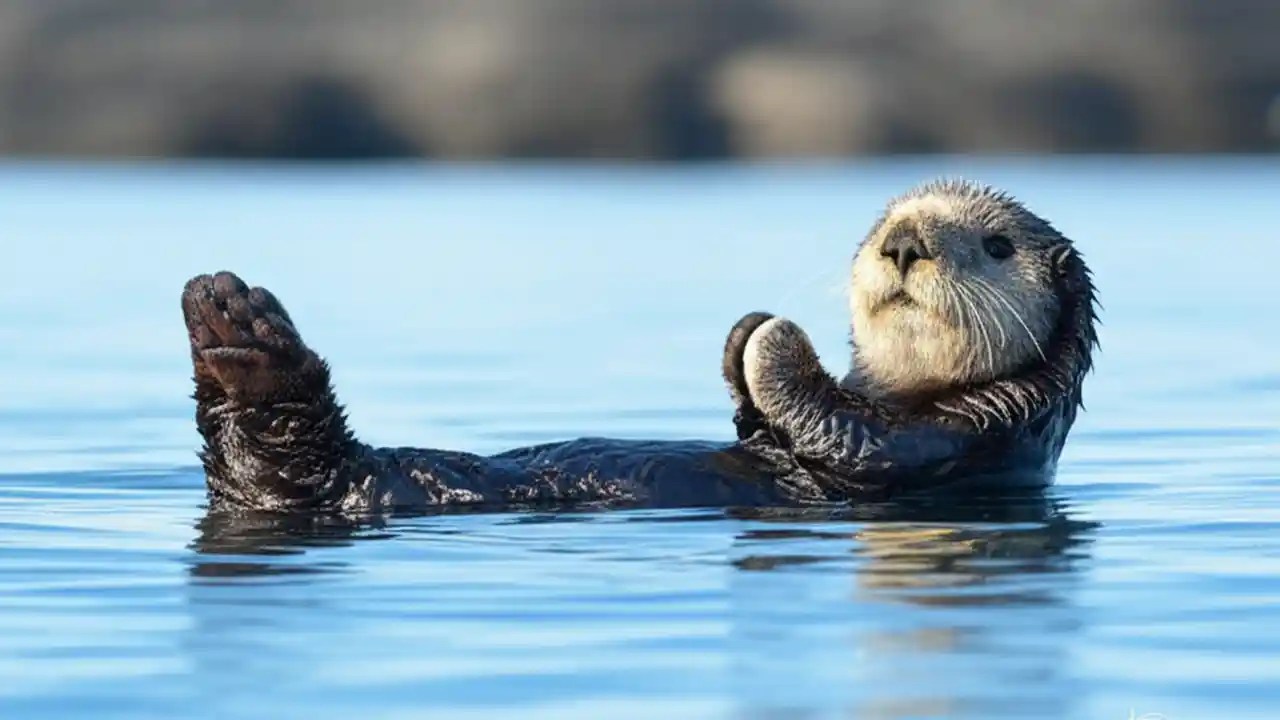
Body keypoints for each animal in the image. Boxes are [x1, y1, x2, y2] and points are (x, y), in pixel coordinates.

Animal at [181, 178, 1097, 514]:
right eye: (880, 226)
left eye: (996, 246)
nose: (904, 244)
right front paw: (741, 336)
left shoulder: (957, 439)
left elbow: (845, 431)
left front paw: (771, 338)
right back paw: (227, 315)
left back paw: (242, 335)